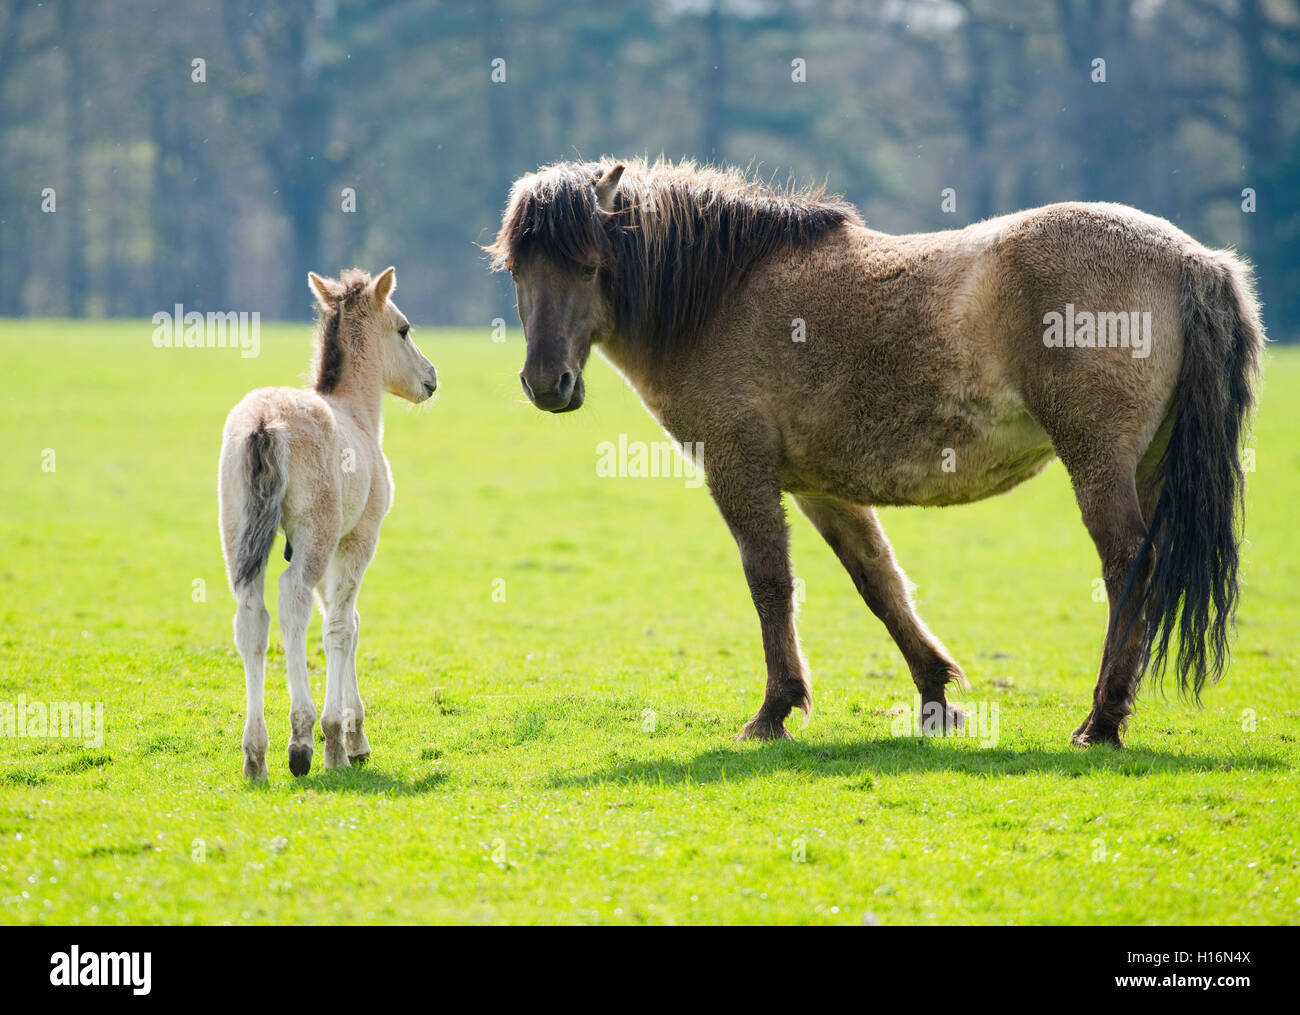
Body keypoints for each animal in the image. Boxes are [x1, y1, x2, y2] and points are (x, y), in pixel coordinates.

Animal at [218, 267, 437, 778]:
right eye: (404, 329)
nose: (431, 379)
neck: (355, 410)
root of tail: (265, 422)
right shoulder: (356, 538)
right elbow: (339, 626)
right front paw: (339, 737)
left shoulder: (328, 544)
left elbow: (347, 620)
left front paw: (355, 736)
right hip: (314, 537)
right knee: (291, 600)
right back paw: (299, 740)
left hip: (238, 532)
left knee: (252, 617)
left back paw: (255, 753)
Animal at [488, 158, 1263, 748]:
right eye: (519, 272)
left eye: (590, 267)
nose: (547, 384)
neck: (723, 293)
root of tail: (1192, 260)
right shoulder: (820, 488)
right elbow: (880, 584)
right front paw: (936, 698)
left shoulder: (740, 470)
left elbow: (769, 582)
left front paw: (773, 711)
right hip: (1149, 465)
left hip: (1098, 460)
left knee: (1128, 566)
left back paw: (1101, 721)